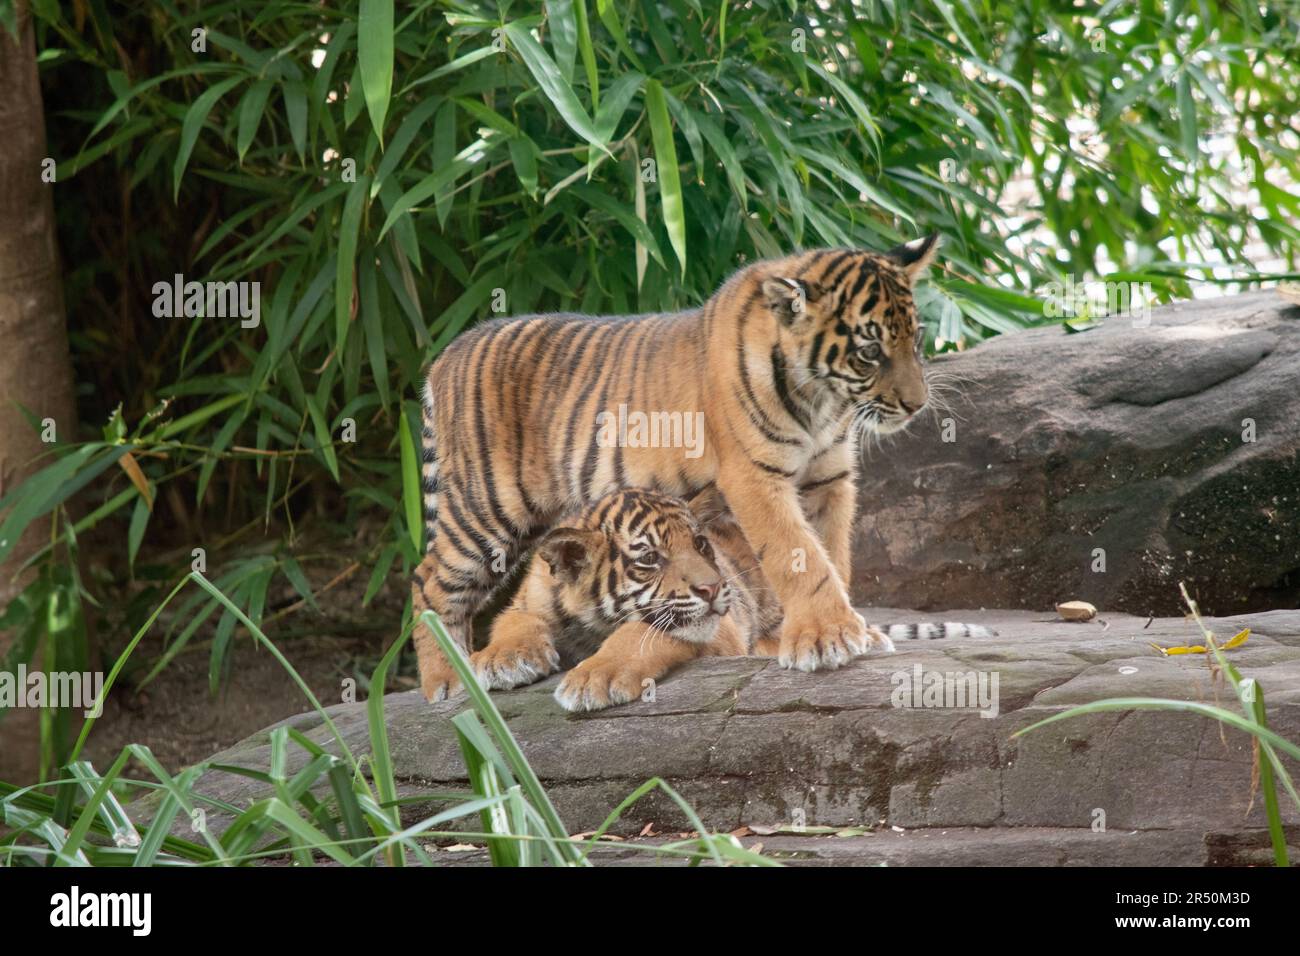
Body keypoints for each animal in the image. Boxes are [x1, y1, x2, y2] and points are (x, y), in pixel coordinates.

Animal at [412, 234, 944, 701]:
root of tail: (445, 354)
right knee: (428, 580)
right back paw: (448, 682)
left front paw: (849, 632)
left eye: (917, 339)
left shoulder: (828, 479)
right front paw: (828, 636)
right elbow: (799, 554)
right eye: (870, 351)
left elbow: (833, 555)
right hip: (486, 510)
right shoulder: (754, 476)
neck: (823, 400)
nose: (917, 405)